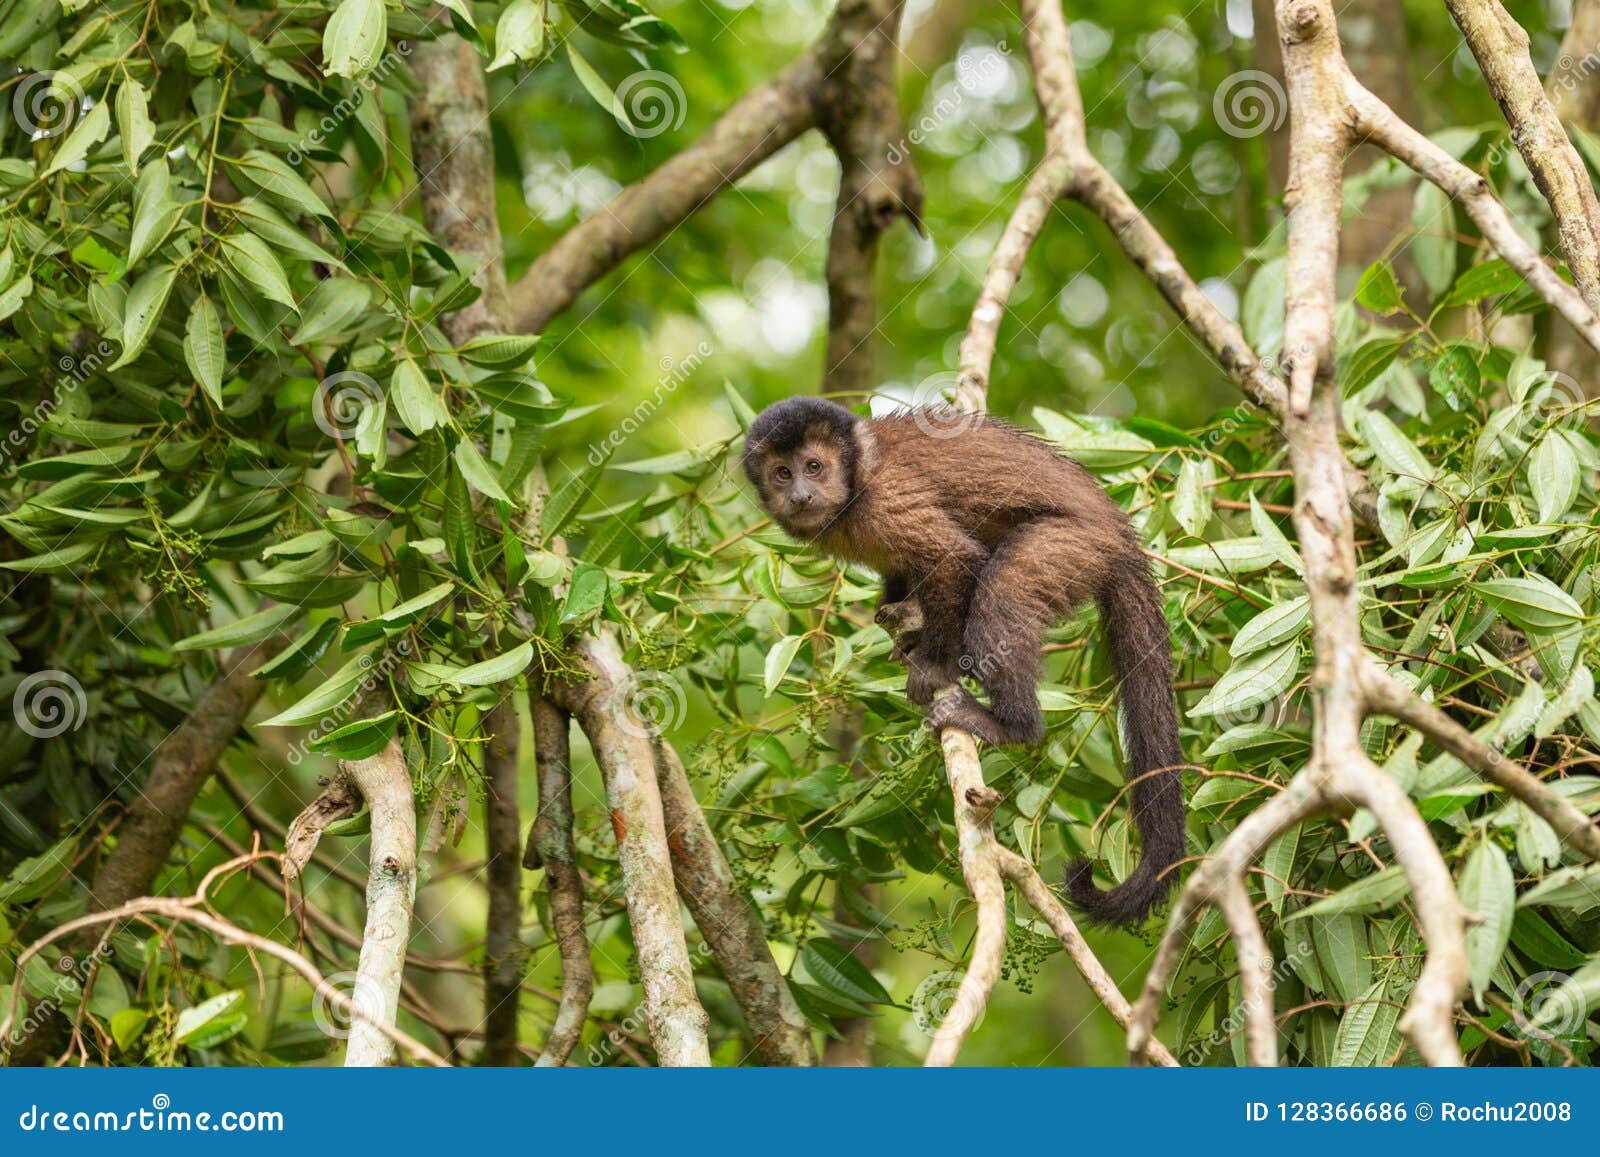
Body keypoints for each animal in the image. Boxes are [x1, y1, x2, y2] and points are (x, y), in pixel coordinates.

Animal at [741, 396, 1186, 927]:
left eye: (813, 467)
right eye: (782, 473)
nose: (801, 495)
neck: (857, 480)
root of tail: (1121, 534)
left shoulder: (885, 502)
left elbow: (951, 559)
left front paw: (935, 664)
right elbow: (905, 571)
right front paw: (901, 616)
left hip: (1076, 546)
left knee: (1003, 593)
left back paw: (1011, 725)